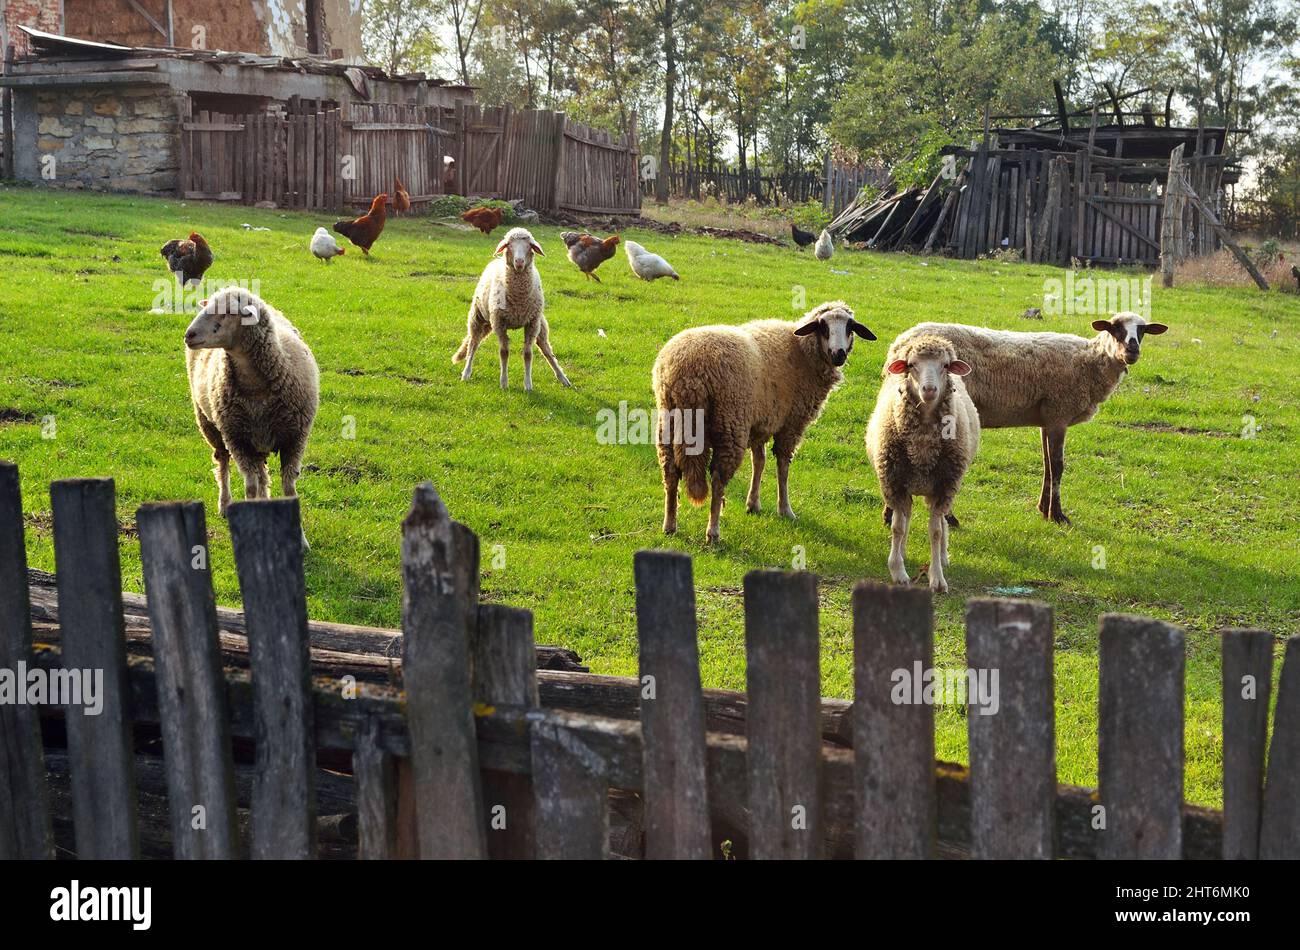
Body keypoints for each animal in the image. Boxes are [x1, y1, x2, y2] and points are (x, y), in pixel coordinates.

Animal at [184, 287, 319, 549]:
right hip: (212, 426)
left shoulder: (295, 439)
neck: (256, 389)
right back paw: (225, 503)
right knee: (223, 463)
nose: (189, 335)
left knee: (263, 475)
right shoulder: (237, 439)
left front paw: (300, 540)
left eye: (228, 311)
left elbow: (288, 487)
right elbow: (250, 485)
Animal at [452, 226, 572, 391]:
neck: (518, 298)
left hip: (539, 323)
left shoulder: (532, 323)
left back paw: (563, 378)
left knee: (547, 349)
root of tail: (496, 260)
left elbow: (528, 354)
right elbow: (504, 352)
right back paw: (466, 373)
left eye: (529, 245)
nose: (519, 261)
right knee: (473, 344)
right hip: (477, 316)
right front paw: (504, 383)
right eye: (509, 244)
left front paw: (528, 385)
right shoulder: (499, 322)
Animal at [652, 300, 876, 543]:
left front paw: (753, 504)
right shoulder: (790, 424)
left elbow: (759, 461)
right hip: (730, 423)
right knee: (718, 478)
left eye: (850, 327)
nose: (839, 354)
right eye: (823, 326)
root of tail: (688, 376)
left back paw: (669, 524)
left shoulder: (760, 422)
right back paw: (713, 531)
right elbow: (783, 466)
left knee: (670, 472)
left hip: (669, 422)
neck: (802, 351)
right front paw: (785, 510)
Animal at [866, 334, 979, 593]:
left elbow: (935, 531)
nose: (929, 389)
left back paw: (944, 556)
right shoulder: (895, 484)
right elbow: (898, 528)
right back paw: (903, 551)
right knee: (906, 520)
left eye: (945, 365)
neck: (923, 445)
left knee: (942, 520)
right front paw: (898, 570)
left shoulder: (943, 487)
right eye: (911, 365)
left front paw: (937, 578)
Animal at [884, 311, 1167, 524]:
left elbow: (1047, 465)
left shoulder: (1047, 419)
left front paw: (1043, 509)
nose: (1132, 350)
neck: (1090, 361)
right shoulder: (1059, 413)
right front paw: (1057, 515)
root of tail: (899, 343)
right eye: (1115, 328)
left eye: (1142, 331)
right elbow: (1058, 466)